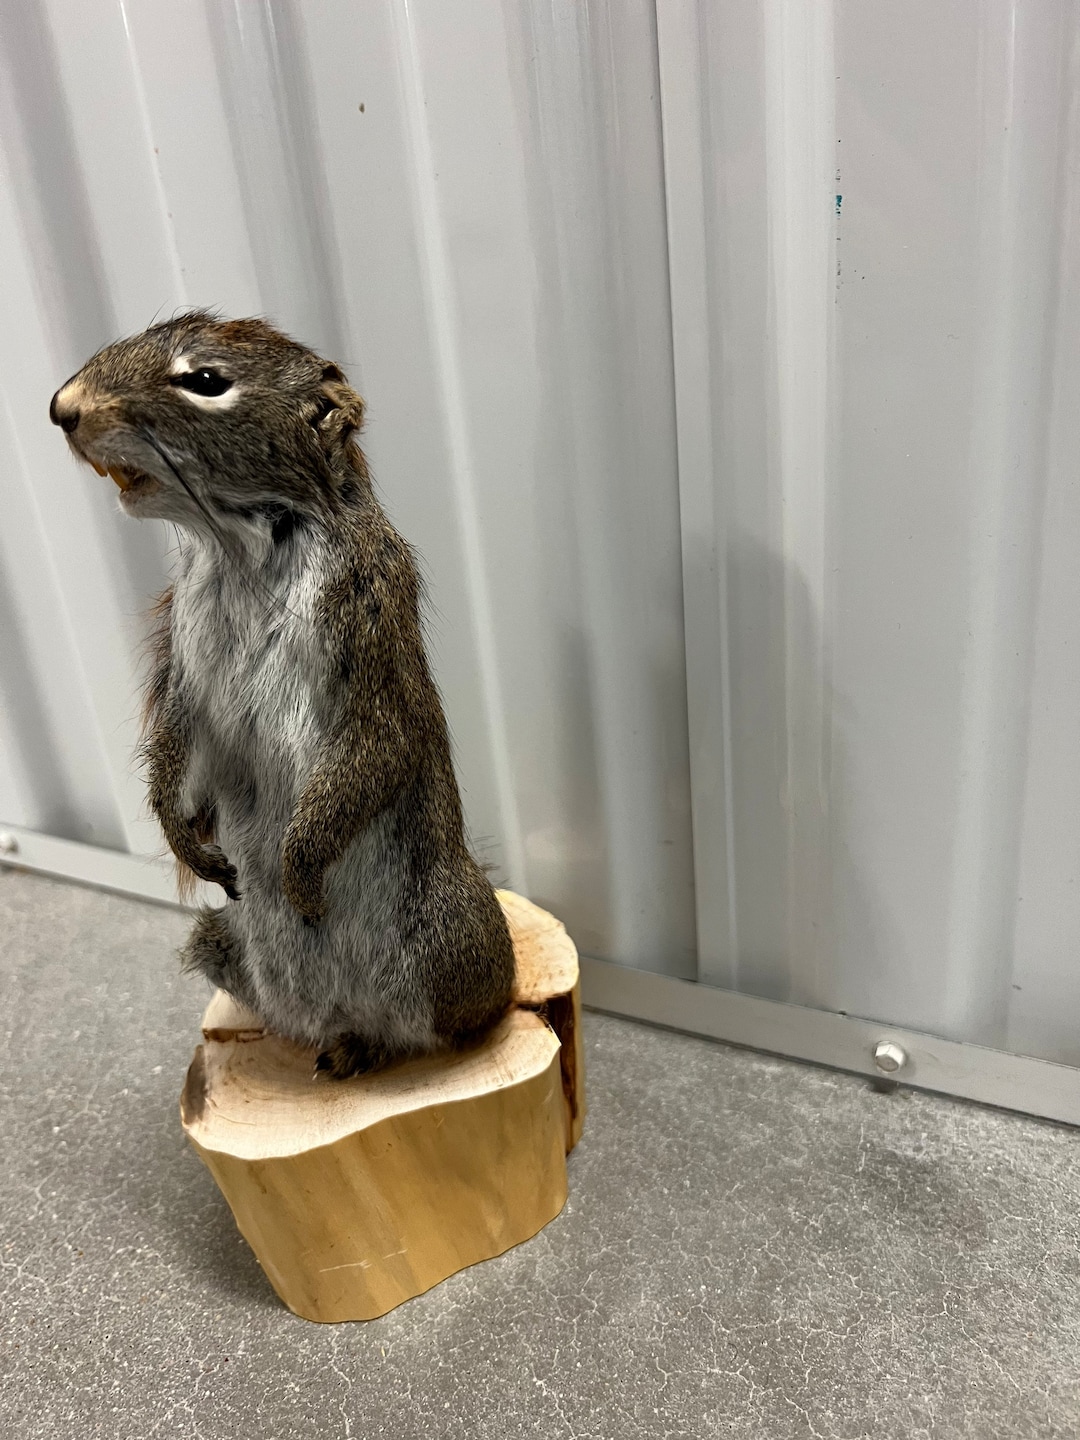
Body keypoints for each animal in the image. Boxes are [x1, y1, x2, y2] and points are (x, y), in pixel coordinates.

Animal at [50, 312, 515, 1078]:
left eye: (207, 381)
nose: (64, 407)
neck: (237, 547)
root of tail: (346, 1015)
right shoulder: (185, 671)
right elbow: (173, 748)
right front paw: (186, 840)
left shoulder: (370, 634)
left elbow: (372, 752)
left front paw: (299, 874)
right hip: (221, 941)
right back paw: (335, 1046)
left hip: (451, 944)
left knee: (456, 1024)